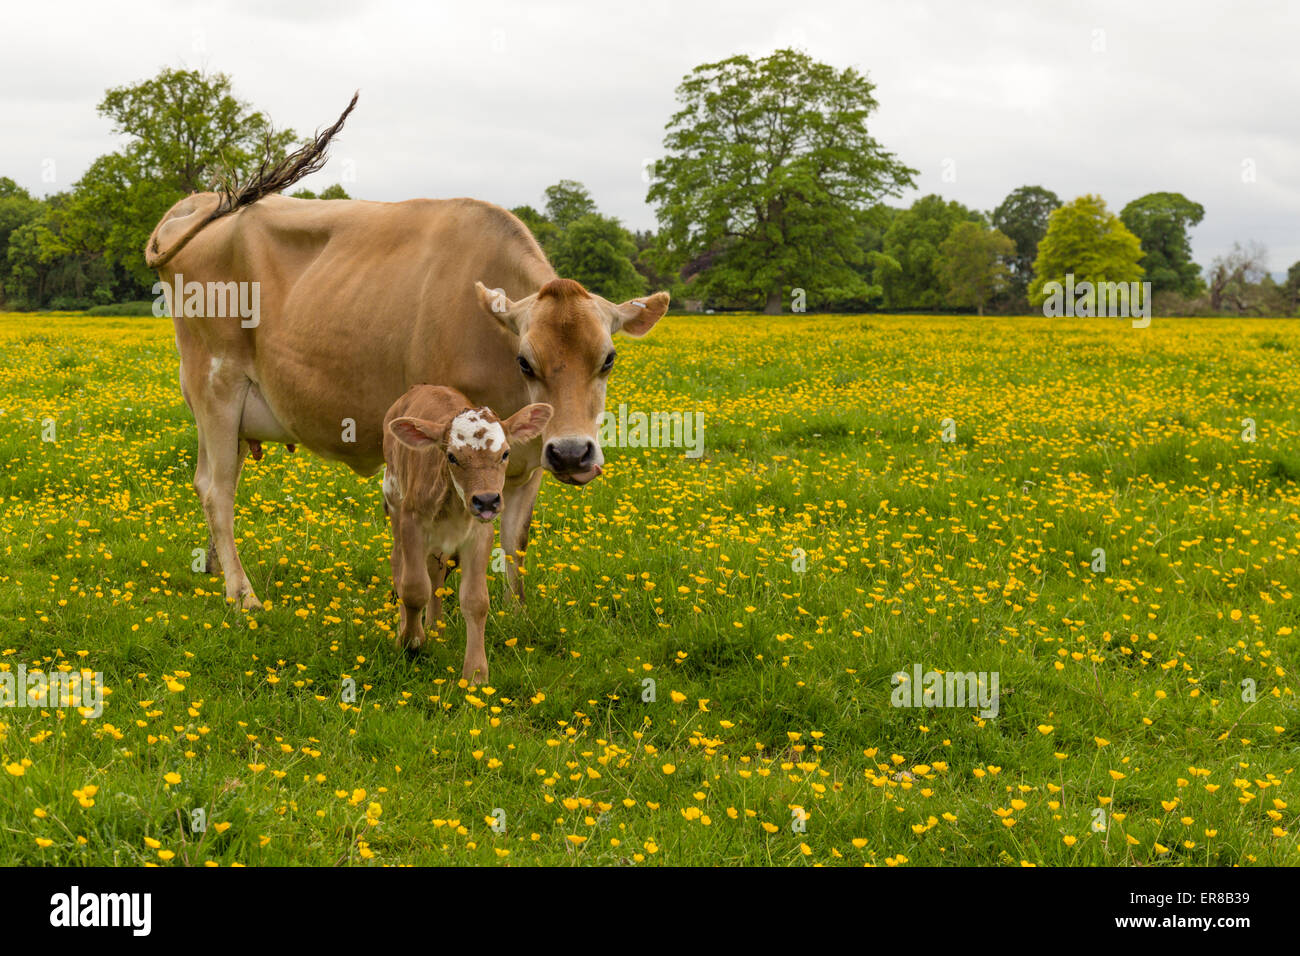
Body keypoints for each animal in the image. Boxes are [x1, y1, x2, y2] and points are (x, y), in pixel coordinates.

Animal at [144, 95, 669, 612]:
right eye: (525, 361)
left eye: (608, 359)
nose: (572, 453)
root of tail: (201, 202)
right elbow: (441, 553)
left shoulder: (527, 465)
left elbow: (515, 541)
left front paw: (517, 615)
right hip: (216, 384)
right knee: (217, 490)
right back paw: (242, 594)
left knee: (213, 479)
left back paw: (215, 570)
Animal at [383, 385, 552, 682]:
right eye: (452, 456)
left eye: (505, 453)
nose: (486, 500)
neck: (454, 506)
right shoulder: (411, 521)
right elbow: (413, 588)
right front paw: (410, 639)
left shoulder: (480, 535)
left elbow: (476, 601)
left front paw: (475, 673)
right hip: (394, 500)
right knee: (398, 563)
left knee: (436, 575)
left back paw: (436, 628)